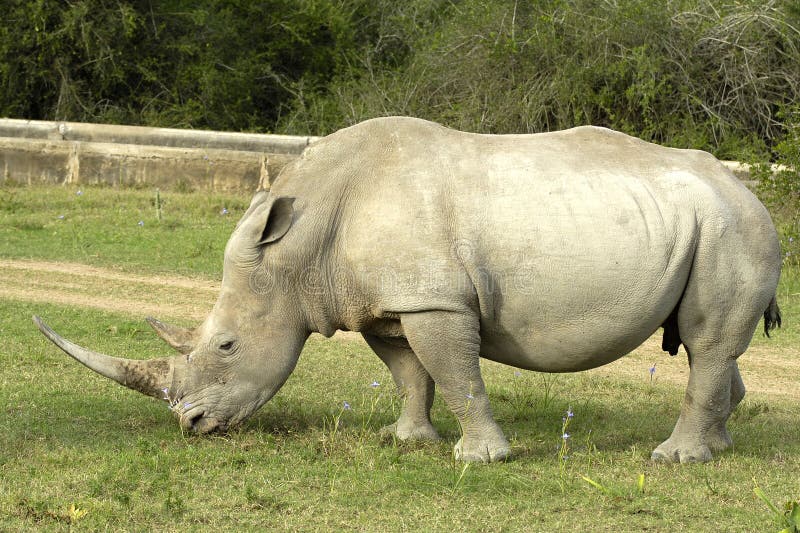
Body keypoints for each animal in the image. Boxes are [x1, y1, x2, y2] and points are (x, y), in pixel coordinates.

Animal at [34, 117, 782, 463]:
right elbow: (410, 373)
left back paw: (675, 459)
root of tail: (748, 187)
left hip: (732, 228)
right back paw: (717, 448)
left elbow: (457, 375)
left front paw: (480, 458)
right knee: (713, 346)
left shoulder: (435, 299)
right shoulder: (386, 301)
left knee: (708, 342)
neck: (301, 250)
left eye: (226, 345)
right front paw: (408, 441)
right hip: (714, 225)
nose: (189, 425)